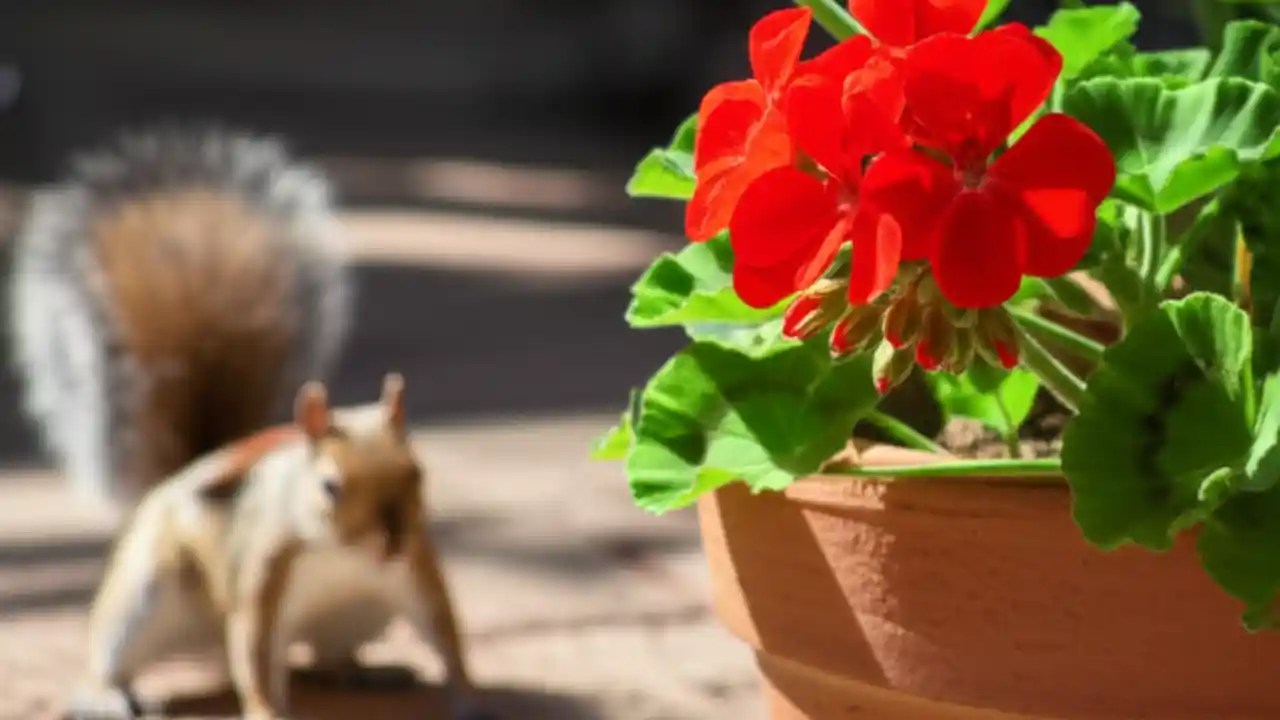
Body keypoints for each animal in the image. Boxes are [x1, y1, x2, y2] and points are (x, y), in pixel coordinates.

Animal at [69, 374, 490, 720]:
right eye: (330, 487)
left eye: (418, 473)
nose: (393, 541)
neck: (341, 552)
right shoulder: (267, 563)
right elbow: (255, 645)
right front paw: (264, 711)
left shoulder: (416, 564)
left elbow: (443, 629)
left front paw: (470, 700)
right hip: (142, 596)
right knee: (111, 661)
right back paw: (107, 698)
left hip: (359, 616)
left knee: (327, 659)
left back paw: (366, 672)